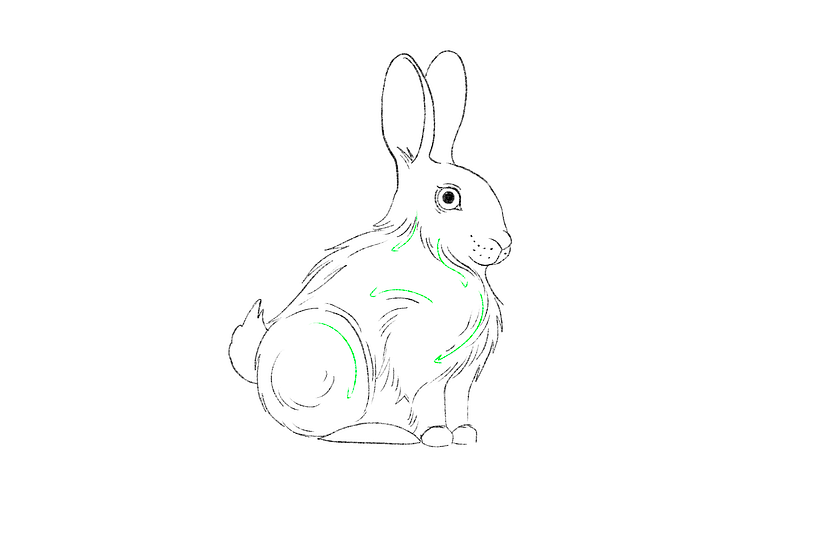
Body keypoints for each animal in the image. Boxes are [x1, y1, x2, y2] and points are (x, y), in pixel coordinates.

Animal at [229, 51, 511, 447]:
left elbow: (458, 401)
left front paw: (466, 435)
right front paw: (436, 436)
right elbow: (429, 400)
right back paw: (383, 432)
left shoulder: (461, 376)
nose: (504, 245)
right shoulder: (418, 359)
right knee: (329, 430)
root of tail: (257, 366)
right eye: (449, 197)